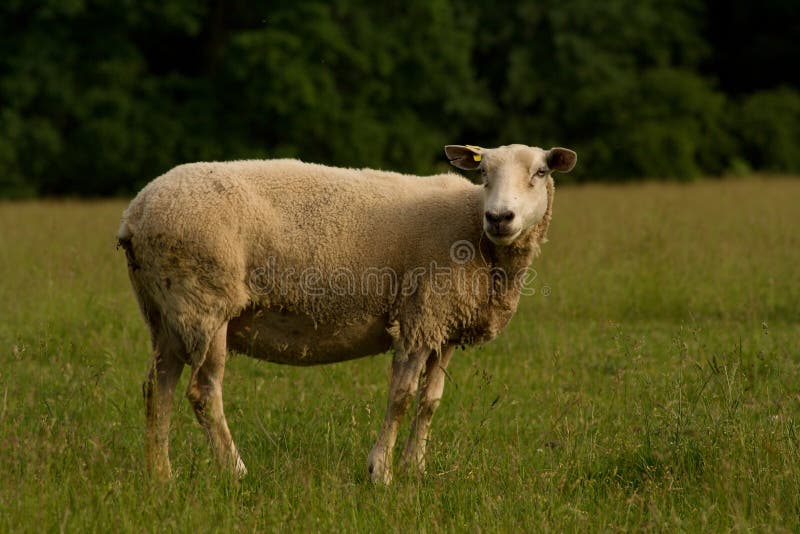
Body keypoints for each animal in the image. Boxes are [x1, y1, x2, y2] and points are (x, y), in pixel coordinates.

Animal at [116, 143, 577, 484]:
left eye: (540, 172)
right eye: (484, 175)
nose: (499, 217)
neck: (474, 232)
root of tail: (135, 213)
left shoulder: (443, 323)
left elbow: (430, 401)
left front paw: (415, 468)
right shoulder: (419, 314)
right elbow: (401, 396)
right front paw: (381, 473)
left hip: (167, 312)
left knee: (157, 388)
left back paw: (161, 476)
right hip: (206, 302)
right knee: (202, 391)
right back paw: (235, 471)